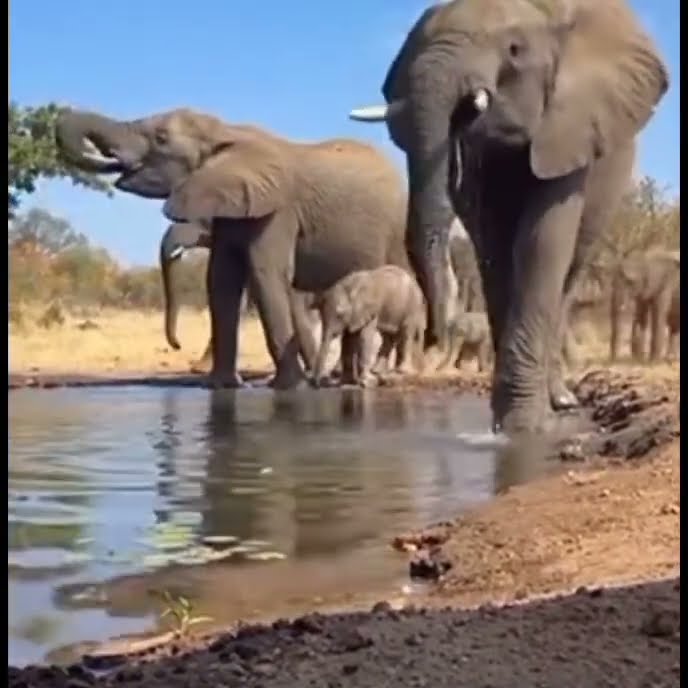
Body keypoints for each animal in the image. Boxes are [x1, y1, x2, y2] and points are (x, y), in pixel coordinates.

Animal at [55, 109, 410, 390]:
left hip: (396, 229)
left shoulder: (279, 210)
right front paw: (222, 386)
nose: (177, 346)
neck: (225, 134)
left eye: (161, 138)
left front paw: (289, 387)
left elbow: (266, 275)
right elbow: (220, 280)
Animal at [349, 0, 668, 434]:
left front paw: (524, 429)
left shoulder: (568, 127)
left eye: (515, 50)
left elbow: (540, 242)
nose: (431, 336)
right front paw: (505, 427)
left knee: (569, 274)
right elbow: (497, 250)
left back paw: (562, 400)